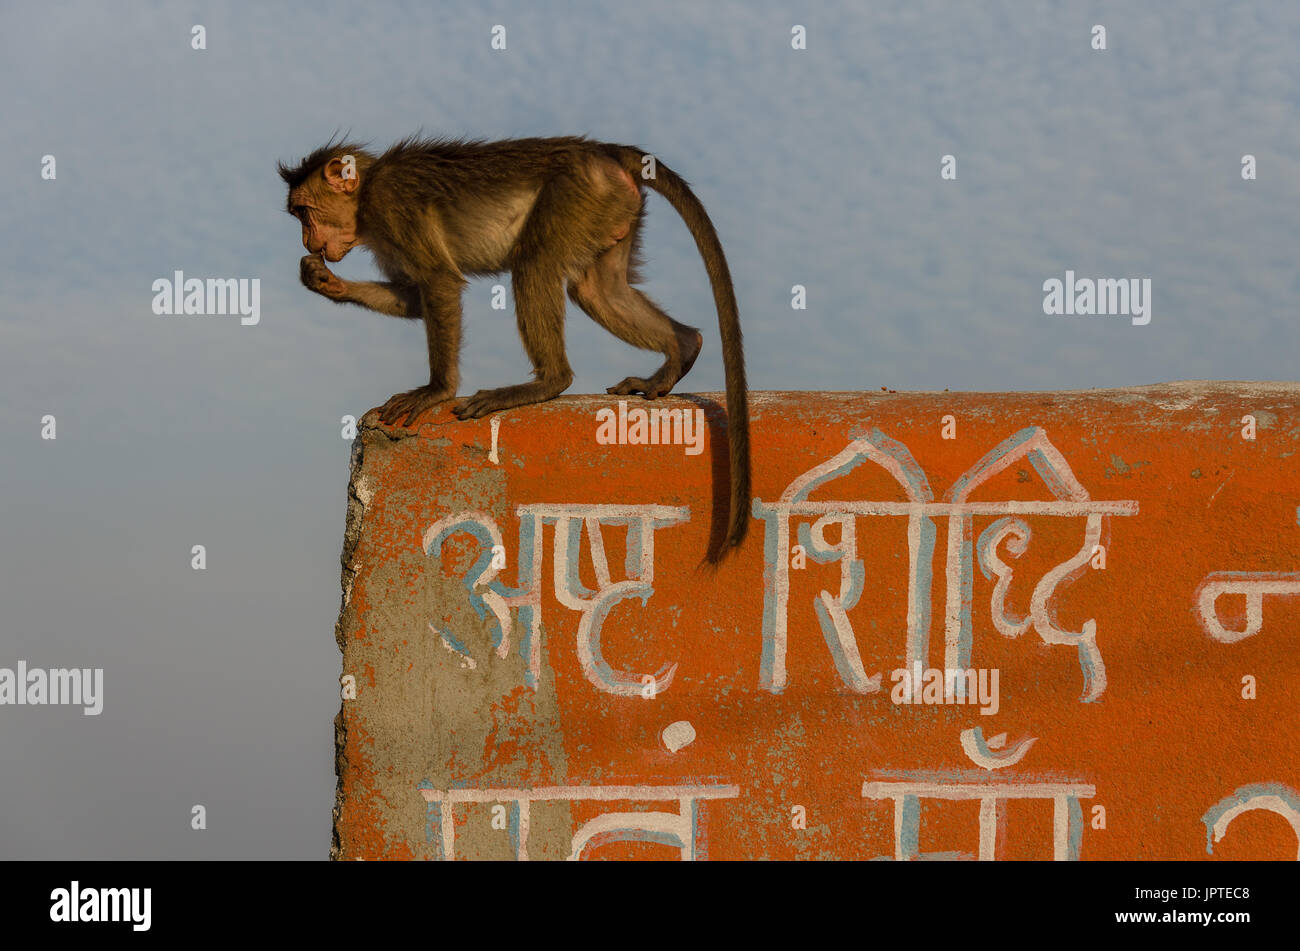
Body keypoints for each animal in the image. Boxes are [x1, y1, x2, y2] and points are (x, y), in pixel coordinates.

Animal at [279, 135, 750, 559]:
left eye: (304, 212)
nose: (306, 241)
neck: (367, 196)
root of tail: (603, 150)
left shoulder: (392, 205)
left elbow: (439, 281)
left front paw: (436, 390)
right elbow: (414, 298)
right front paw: (324, 282)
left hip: (579, 194)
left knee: (534, 261)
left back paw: (547, 382)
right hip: (611, 209)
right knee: (597, 289)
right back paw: (680, 351)